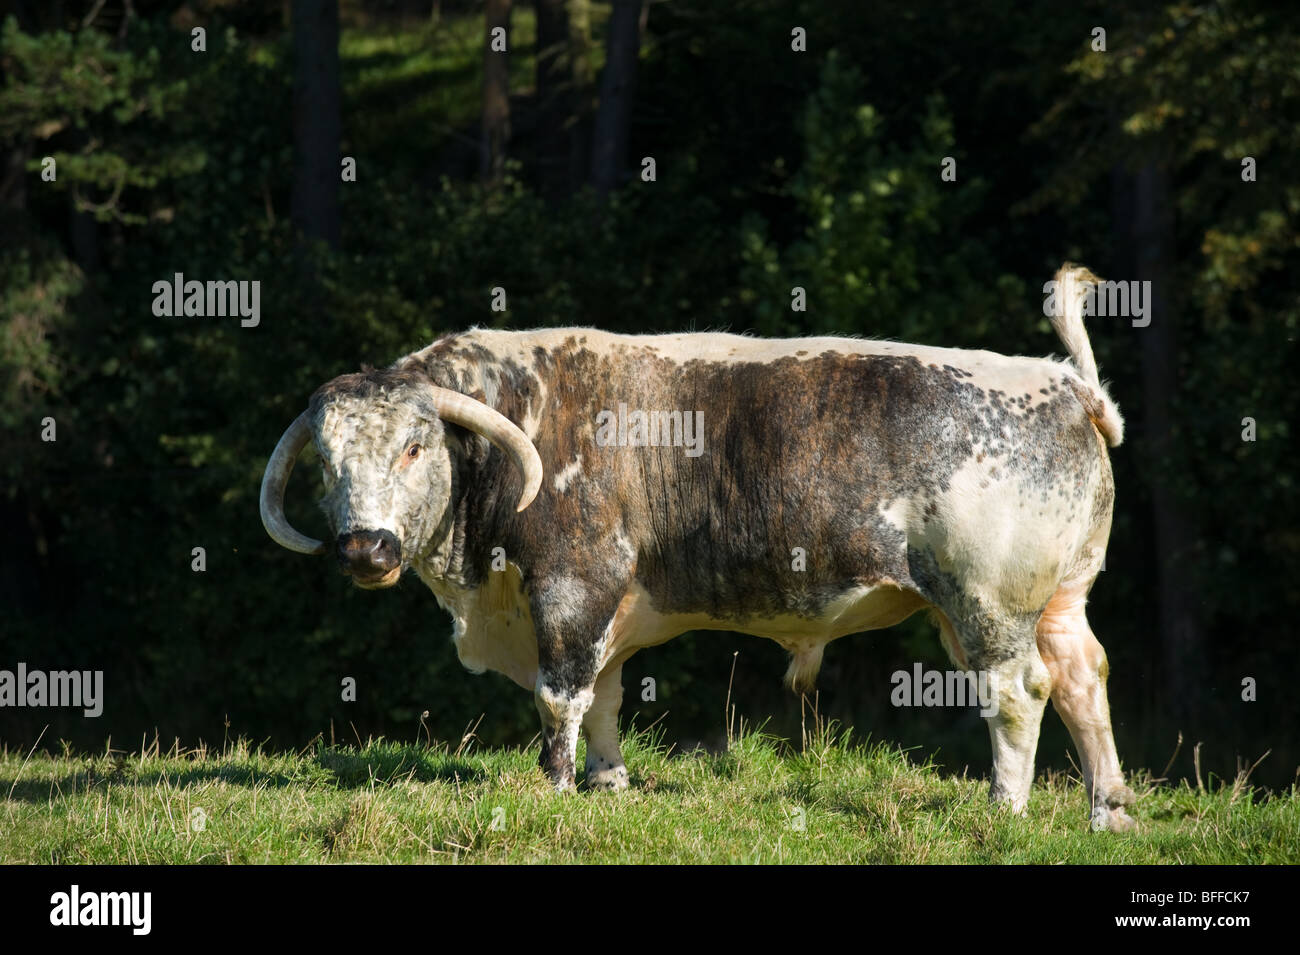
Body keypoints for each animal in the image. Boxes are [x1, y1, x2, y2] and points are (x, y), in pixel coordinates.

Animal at [259, 263, 1136, 831]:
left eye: (415, 446)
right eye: (327, 463)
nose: (365, 548)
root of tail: (1065, 383)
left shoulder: (572, 587)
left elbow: (559, 696)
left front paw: (555, 788)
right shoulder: (608, 612)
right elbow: (605, 697)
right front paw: (609, 784)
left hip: (987, 600)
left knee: (1020, 690)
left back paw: (1006, 807)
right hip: (1059, 596)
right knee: (1083, 677)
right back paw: (1109, 811)